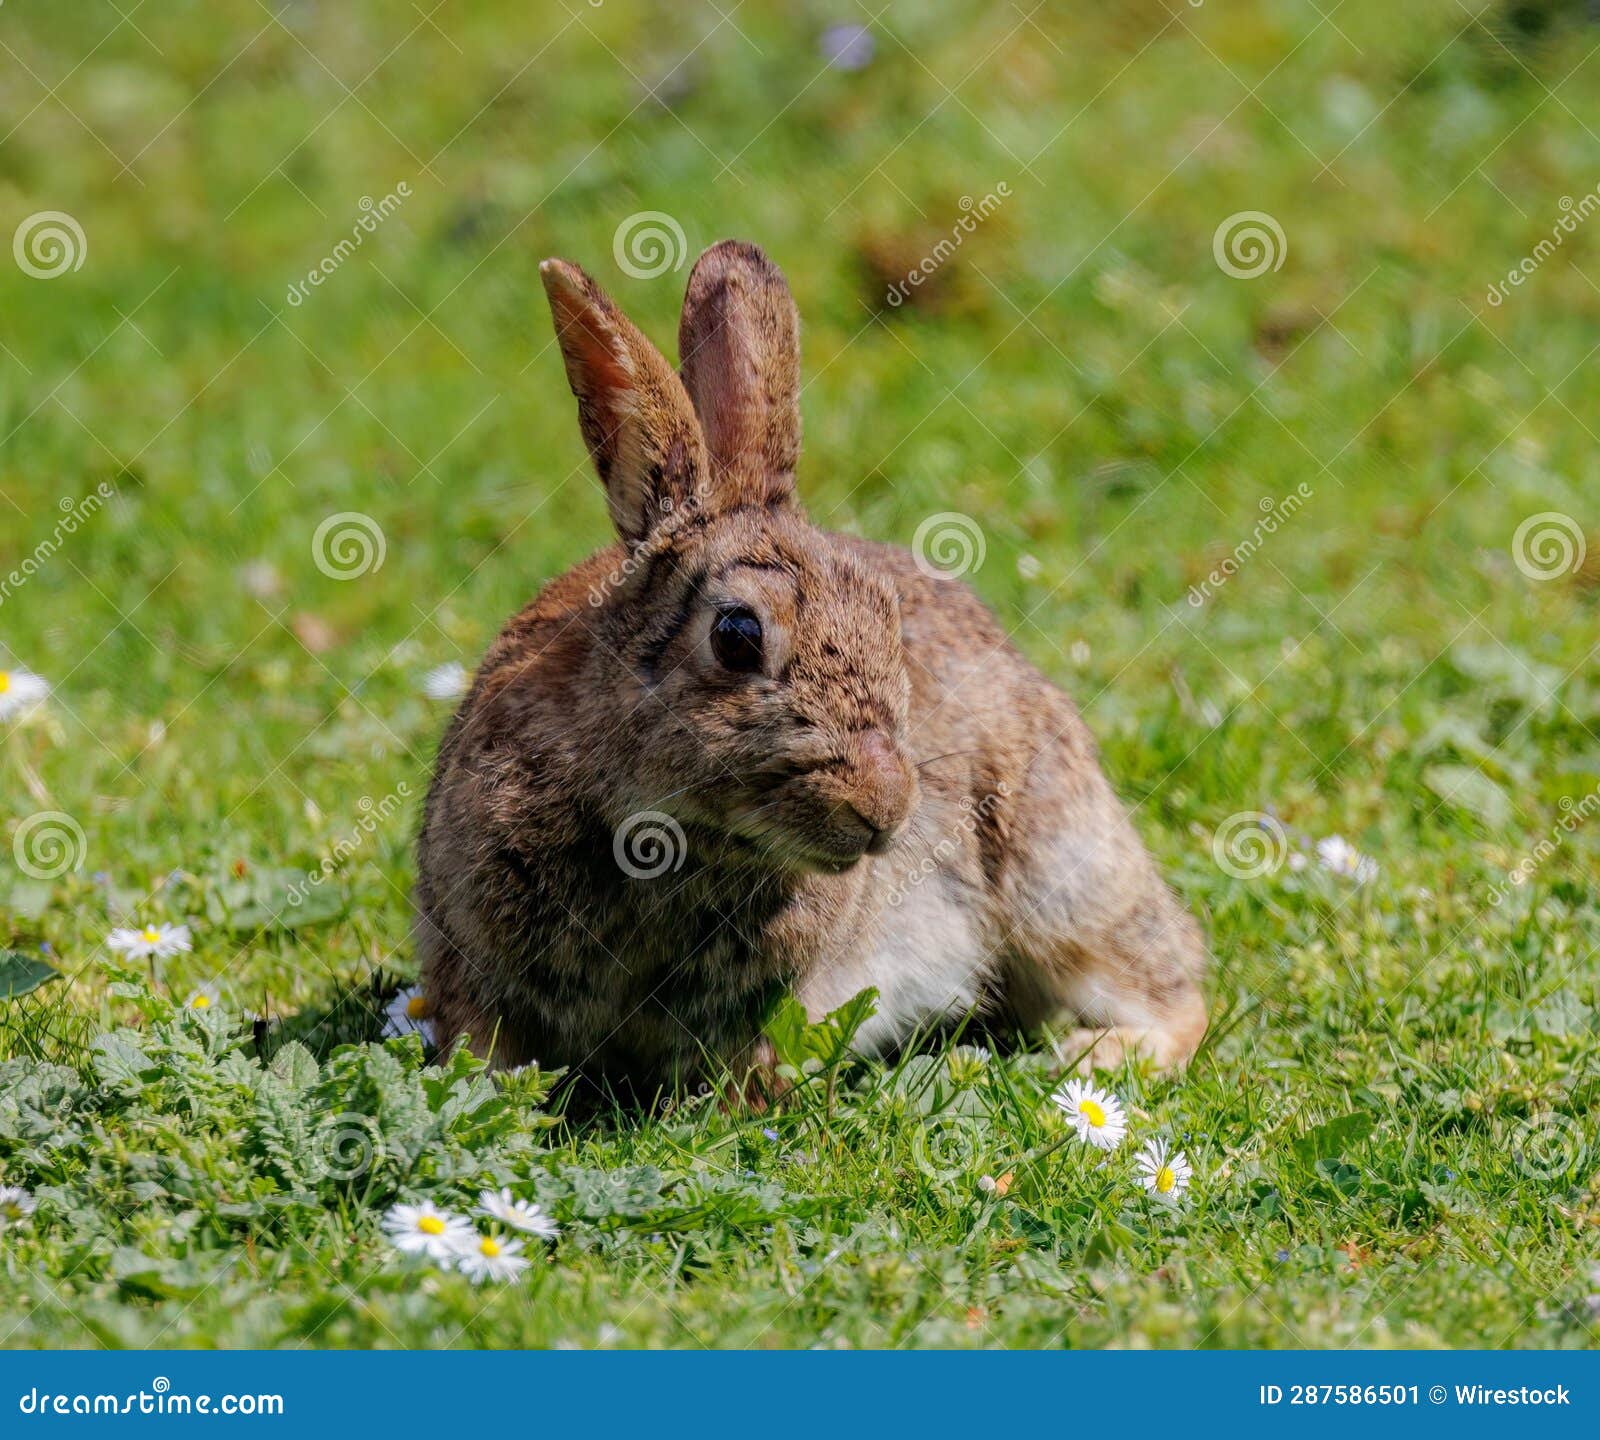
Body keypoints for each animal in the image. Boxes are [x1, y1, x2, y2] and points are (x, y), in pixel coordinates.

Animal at [415, 238, 1208, 1104]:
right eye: (736, 635)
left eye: (889, 621)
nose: (886, 809)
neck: (667, 831)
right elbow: (482, 1051)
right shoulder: (467, 958)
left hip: (1057, 878)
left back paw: (1093, 1056)